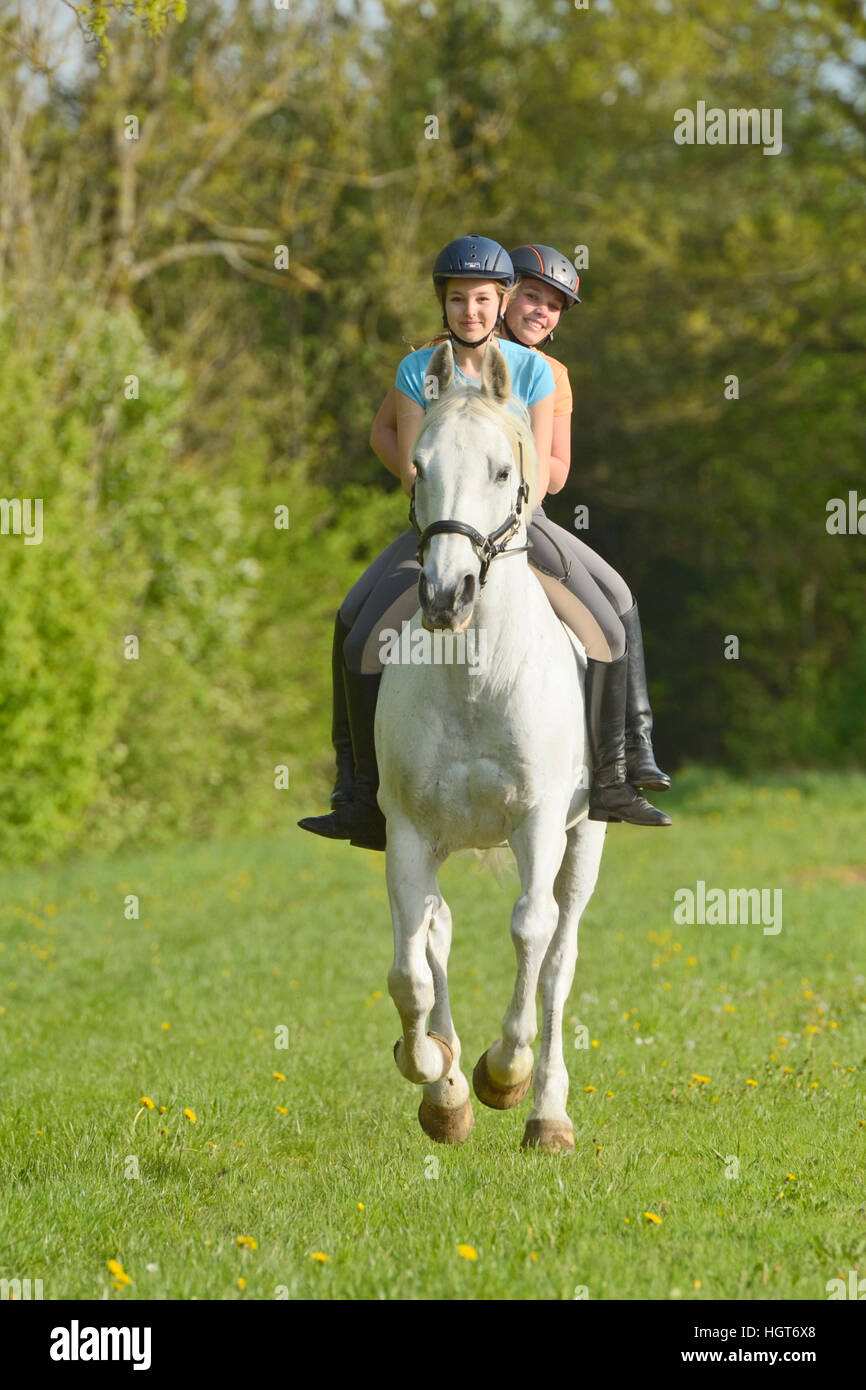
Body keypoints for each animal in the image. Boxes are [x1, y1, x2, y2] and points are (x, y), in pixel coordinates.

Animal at [374, 338, 608, 1153]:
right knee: (436, 934)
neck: (478, 674)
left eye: (504, 471)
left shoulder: (538, 823)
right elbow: (409, 971)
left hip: (586, 837)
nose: (448, 595)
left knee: (560, 957)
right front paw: (434, 1074)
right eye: (419, 467)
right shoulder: (408, 833)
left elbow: (530, 935)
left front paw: (503, 1073)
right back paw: (446, 1086)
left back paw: (547, 1113)